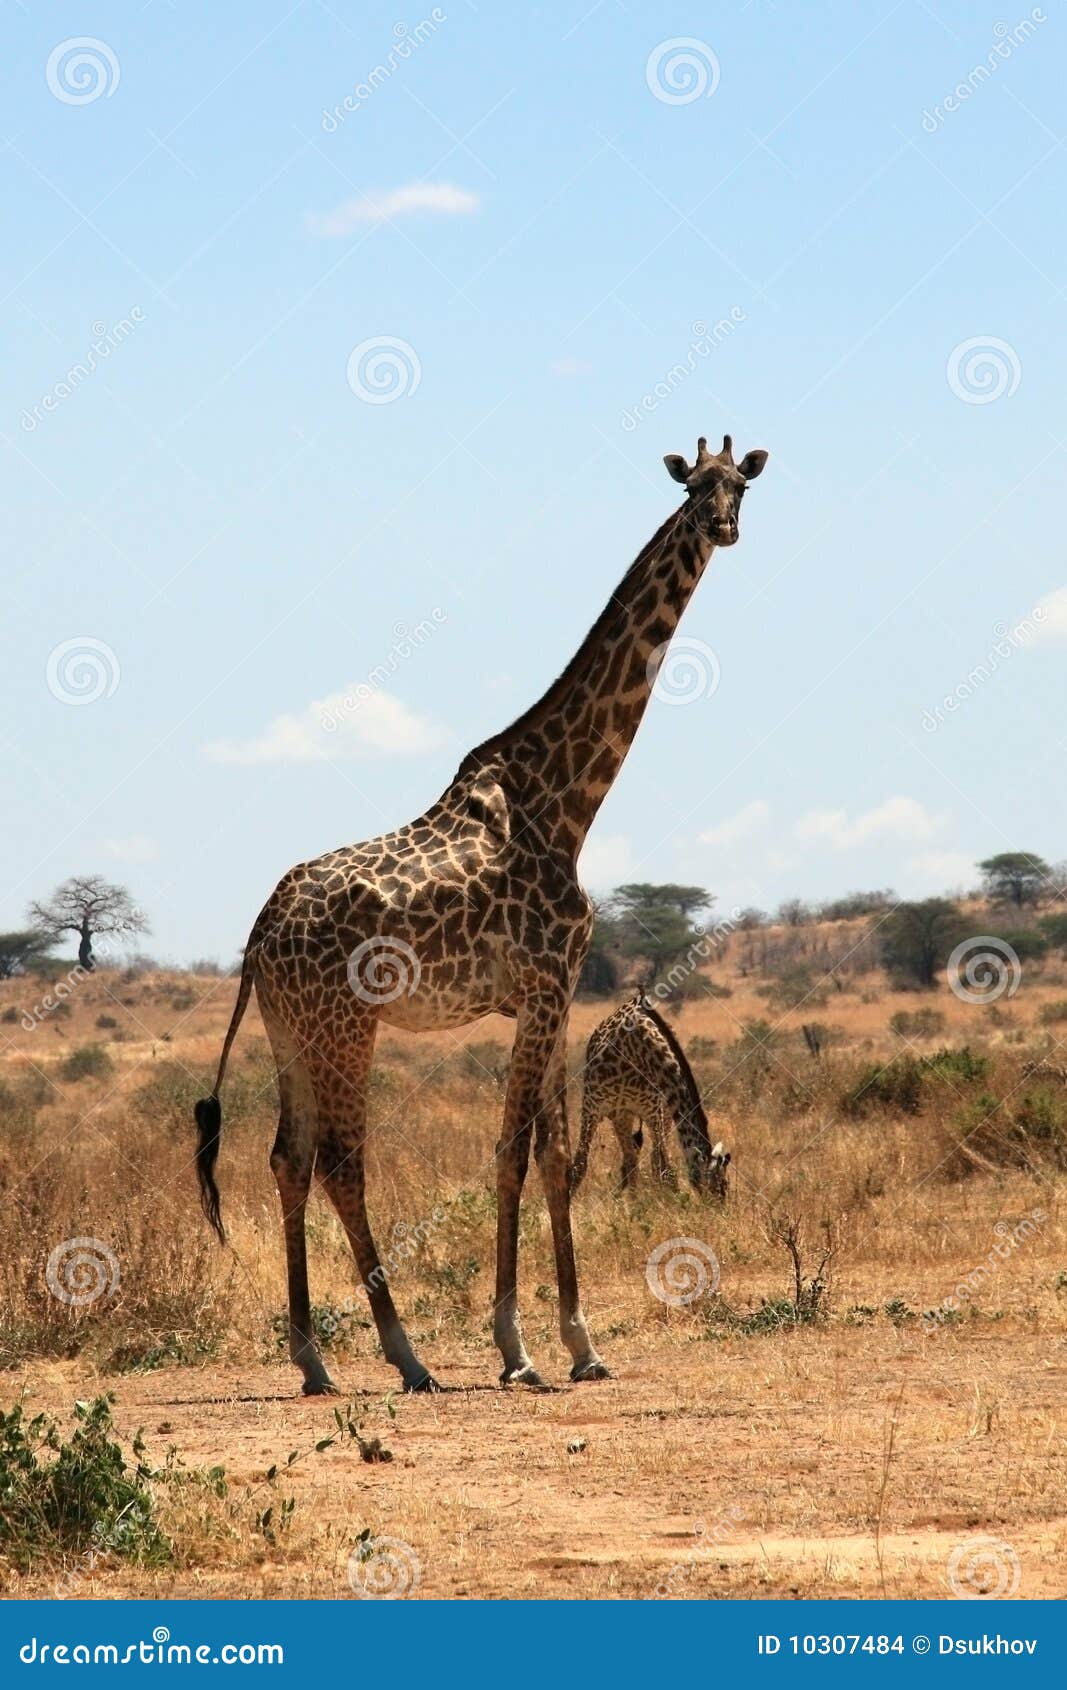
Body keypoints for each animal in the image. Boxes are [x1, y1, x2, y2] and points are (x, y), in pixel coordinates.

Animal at [571, 988, 730, 1196]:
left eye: (725, 1185)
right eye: (718, 1187)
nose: (719, 1204)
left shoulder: (652, 1112)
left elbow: (666, 1169)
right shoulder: (592, 1108)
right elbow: (579, 1166)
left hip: (660, 1114)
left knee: (652, 1160)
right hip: (622, 1115)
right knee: (631, 1160)